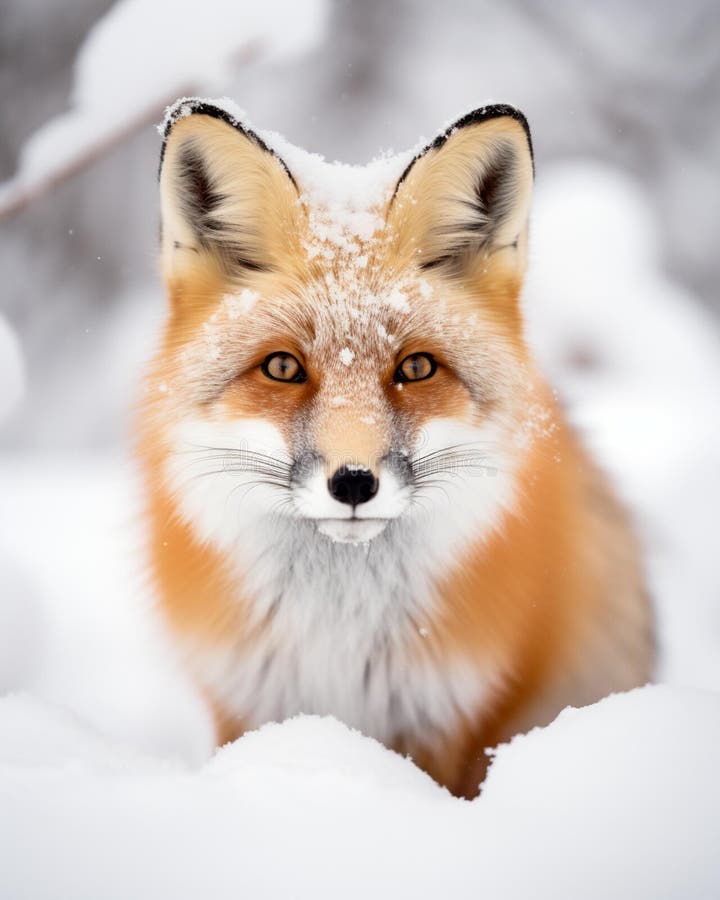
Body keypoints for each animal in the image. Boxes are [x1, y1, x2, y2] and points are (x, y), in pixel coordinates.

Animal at [139, 98, 654, 798]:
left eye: (415, 368)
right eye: (282, 368)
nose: (354, 482)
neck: (338, 633)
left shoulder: (444, 715)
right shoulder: (247, 700)